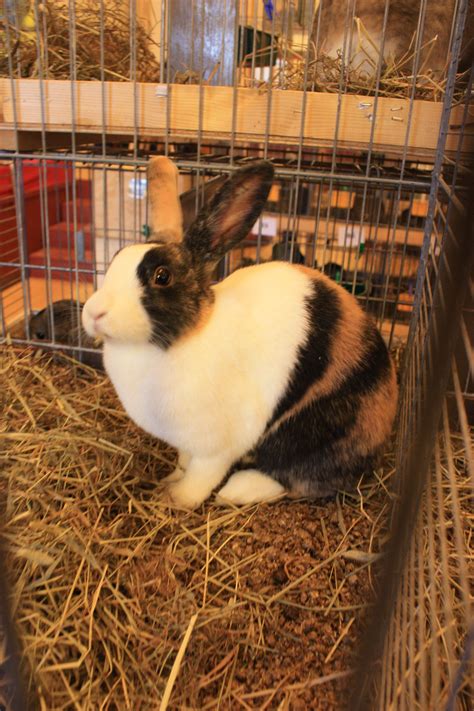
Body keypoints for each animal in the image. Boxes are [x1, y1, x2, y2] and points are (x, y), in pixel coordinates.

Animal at [82, 157, 398, 510]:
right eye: (114, 260)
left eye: (162, 276)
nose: (93, 313)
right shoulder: (187, 444)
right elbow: (184, 463)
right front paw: (170, 479)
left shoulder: (215, 449)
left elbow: (199, 479)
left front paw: (175, 498)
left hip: (313, 433)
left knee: (299, 479)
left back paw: (237, 489)